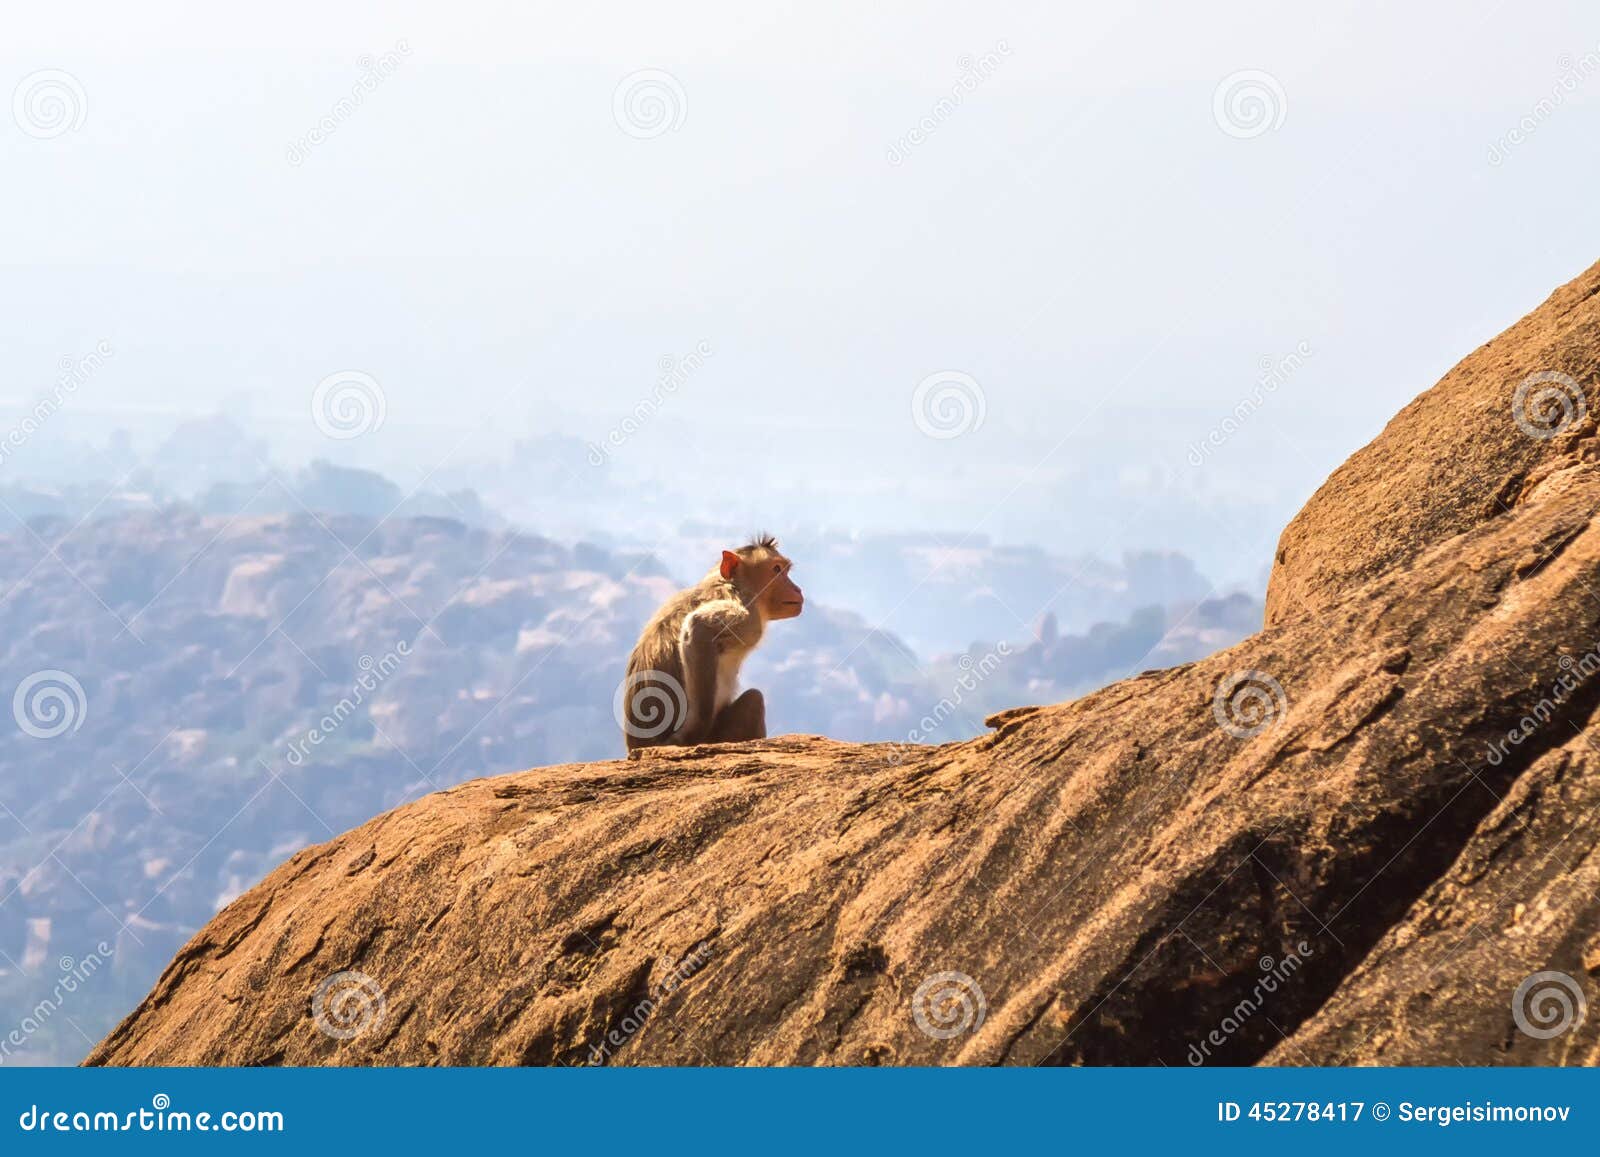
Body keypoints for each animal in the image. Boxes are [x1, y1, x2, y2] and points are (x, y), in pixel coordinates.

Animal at [619, 535, 803, 752]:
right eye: (776, 569)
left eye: (785, 569)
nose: (797, 589)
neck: (731, 585)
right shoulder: (748, 618)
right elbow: (698, 627)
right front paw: (691, 735)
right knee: (754, 700)